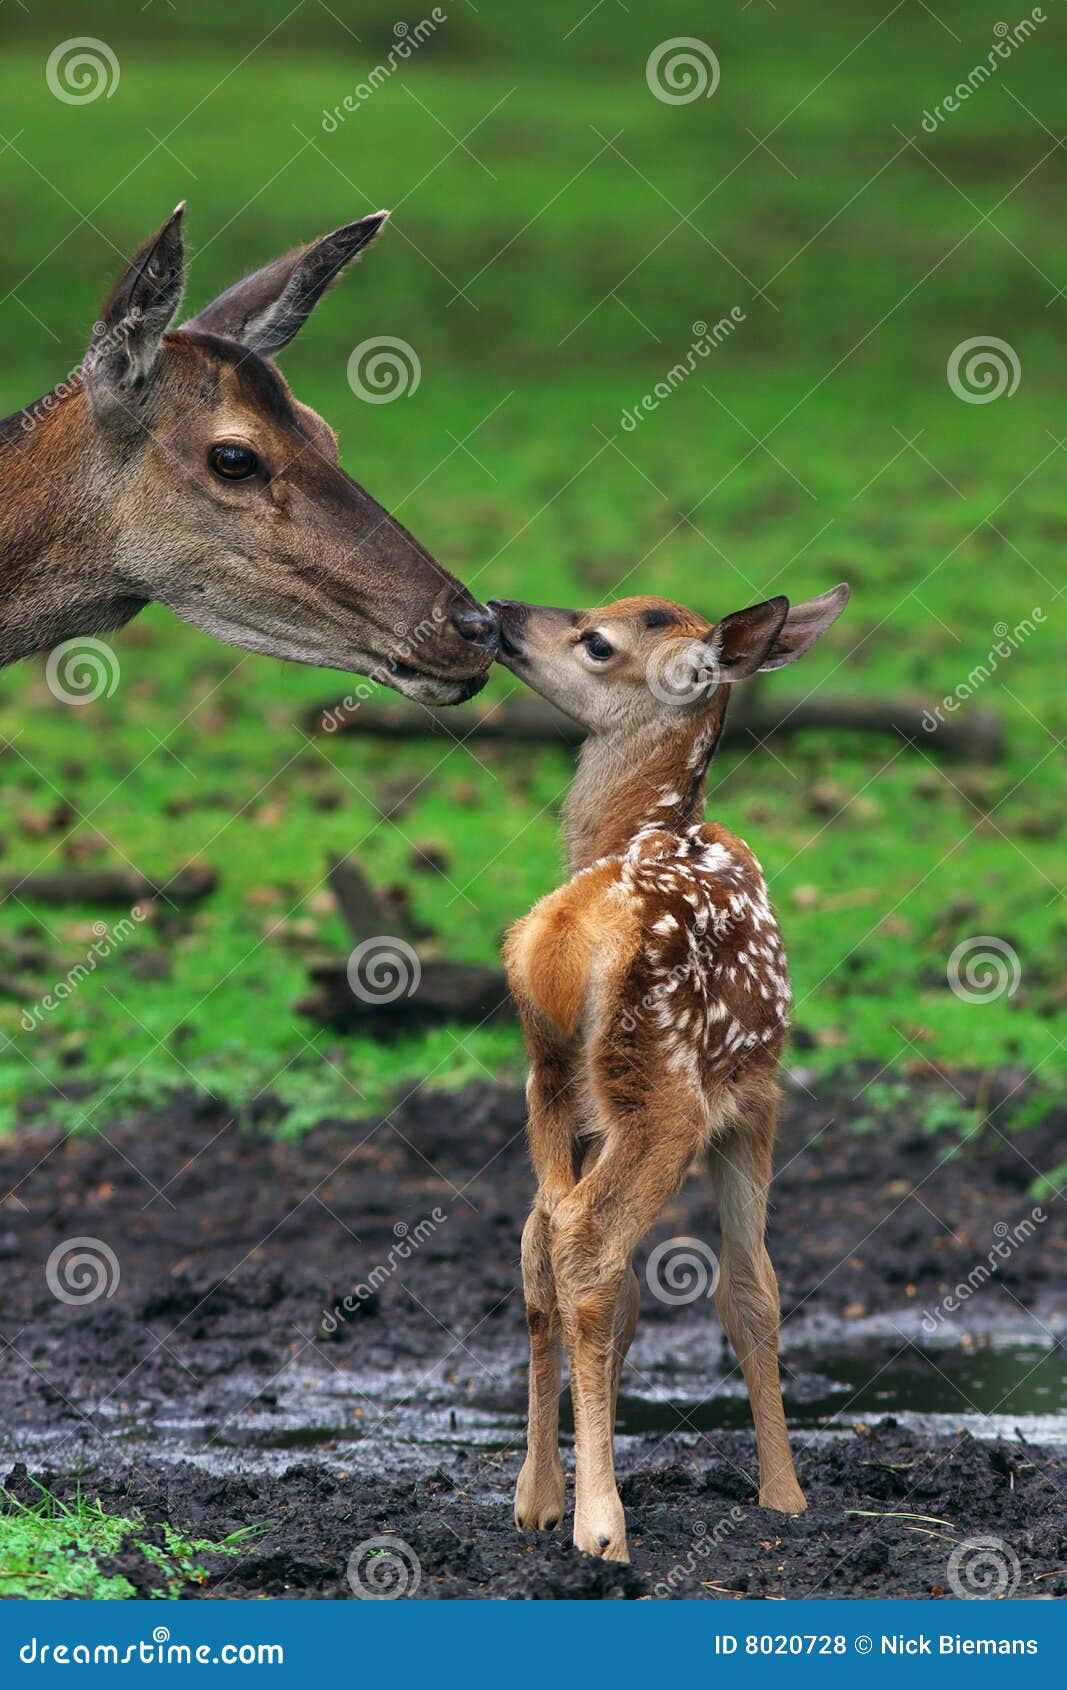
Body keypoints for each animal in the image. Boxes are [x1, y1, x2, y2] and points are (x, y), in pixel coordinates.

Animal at [490, 583, 850, 1563]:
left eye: (596, 638)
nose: (497, 610)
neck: (645, 825)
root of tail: (560, 939)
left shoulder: (583, 1107)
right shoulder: (755, 1094)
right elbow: (751, 1289)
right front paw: (784, 1498)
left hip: (551, 1081)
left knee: (544, 1240)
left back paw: (538, 1498)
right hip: (663, 1087)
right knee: (587, 1244)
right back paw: (602, 1526)